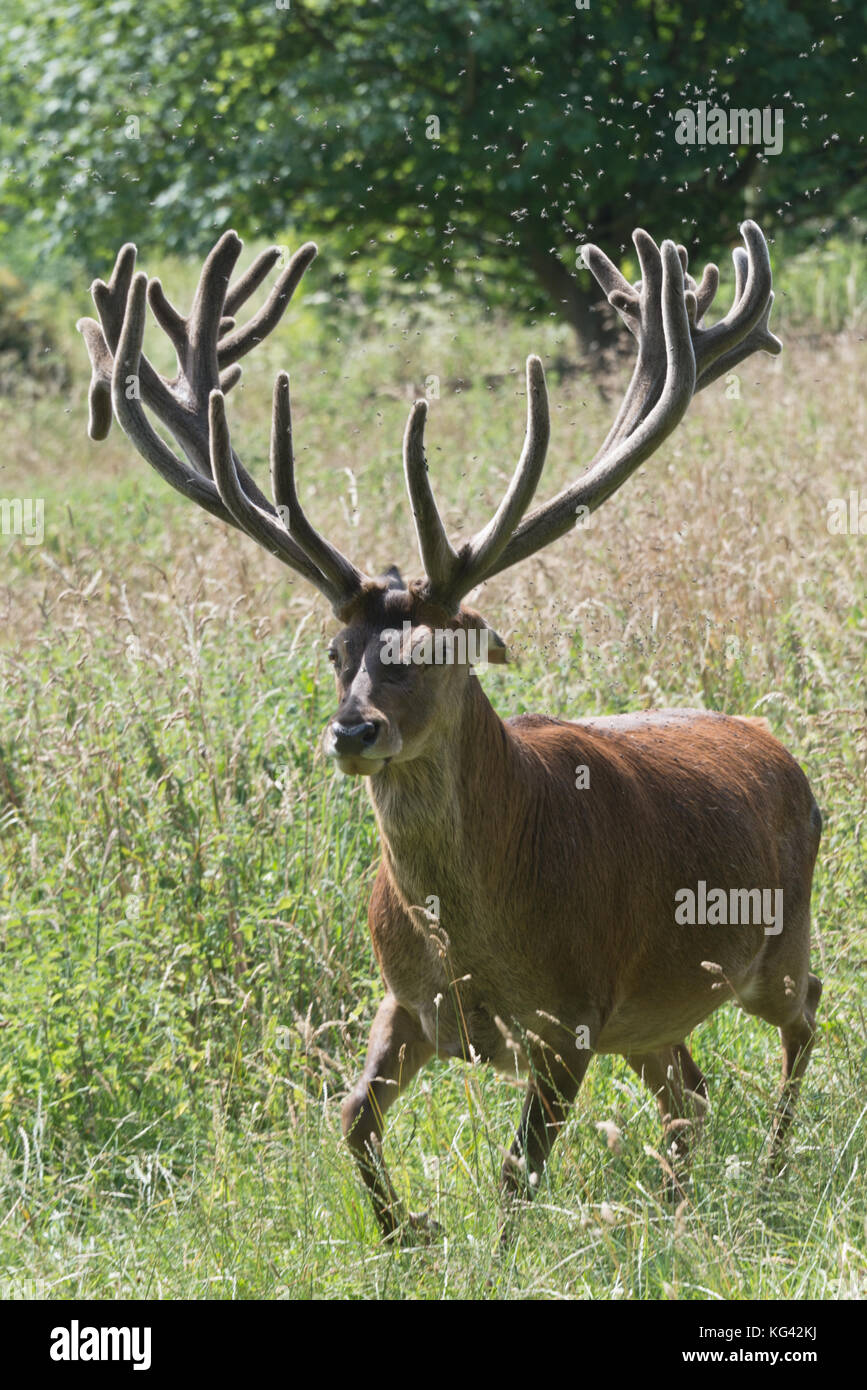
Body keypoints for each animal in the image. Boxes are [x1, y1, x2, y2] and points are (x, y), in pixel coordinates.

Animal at [77, 220, 823, 1241]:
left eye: (433, 650)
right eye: (336, 650)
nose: (352, 732)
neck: (477, 949)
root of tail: (781, 753)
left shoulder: (570, 1014)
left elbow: (516, 1173)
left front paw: (490, 1250)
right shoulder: (406, 1003)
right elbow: (351, 1114)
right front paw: (408, 1231)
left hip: (768, 949)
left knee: (803, 1015)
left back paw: (773, 1171)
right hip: (653, 1017)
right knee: (689, 1094)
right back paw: (676, 1209)